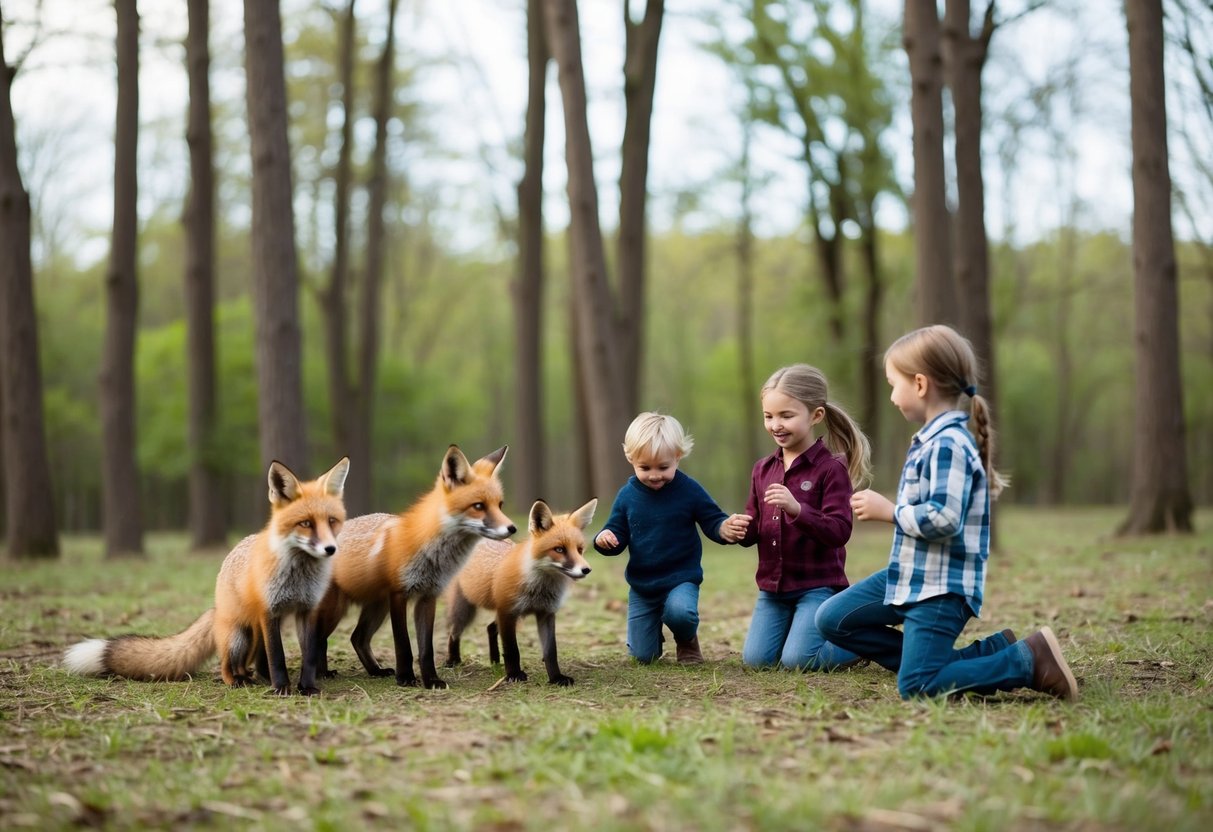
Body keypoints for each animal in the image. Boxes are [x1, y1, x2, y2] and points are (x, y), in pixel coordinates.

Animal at [63, 458, 350, 696]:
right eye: (306, 524)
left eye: (332, 521)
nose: (330, 549)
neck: (299, 575)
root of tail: (217, 608)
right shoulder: (269, 611)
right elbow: (277, 657)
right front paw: (281, 688)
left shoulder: (307, 610)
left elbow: (309, 655)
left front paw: (307, 687)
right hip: (238, 637)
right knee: (227, 664)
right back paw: (237, 681)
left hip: (253, 635)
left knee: (253, 662)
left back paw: (253, 677)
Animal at [309, 445, 515, 689]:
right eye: (478, 506)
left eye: (500, 505)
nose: (512, 528)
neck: (433, 557)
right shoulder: (399, 595)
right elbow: (404, 645)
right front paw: (406, 677)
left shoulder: (428, 596)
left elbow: (426, 650)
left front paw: (431, 680)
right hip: (337, 608)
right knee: (320, 639)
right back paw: (321, 672)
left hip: (377, 607)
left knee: (357, 638)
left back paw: (375, 671)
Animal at [444, 498, 596, 686]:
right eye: (559, 549)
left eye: (580, 549)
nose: (586, 570)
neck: (539, 589)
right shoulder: (507, 613)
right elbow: (512, 650)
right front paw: (514, 675)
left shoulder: (546, 613)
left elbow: (550, 651)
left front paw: (556, 677)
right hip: (465, 611)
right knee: (453, 633)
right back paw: (453, 660)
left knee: (490, 628)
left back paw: (495, 661)